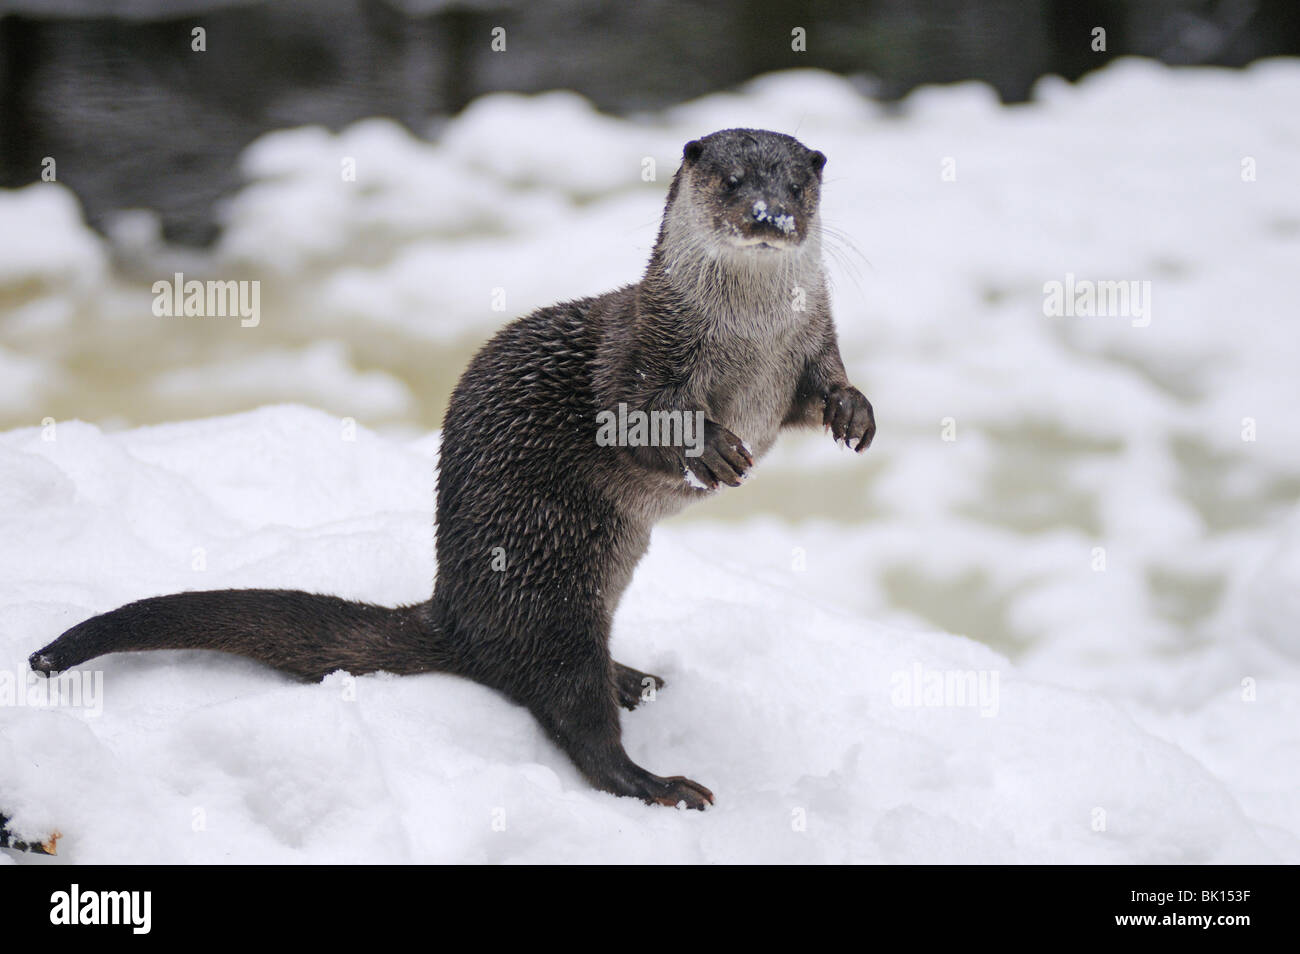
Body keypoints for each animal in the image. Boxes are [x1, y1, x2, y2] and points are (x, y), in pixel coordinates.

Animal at [29, 128, 874, 809]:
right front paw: (707, 446)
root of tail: (453, 614)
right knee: (573, 713)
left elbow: (820, 389)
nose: (768, 216)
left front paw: (854, 413)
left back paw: (636, 679)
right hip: (549, 589)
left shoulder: (808, 349)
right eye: (731, 180)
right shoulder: (639, 355)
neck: (749, 346)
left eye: (795, 185)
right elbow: (637, 420)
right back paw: (656, 780)